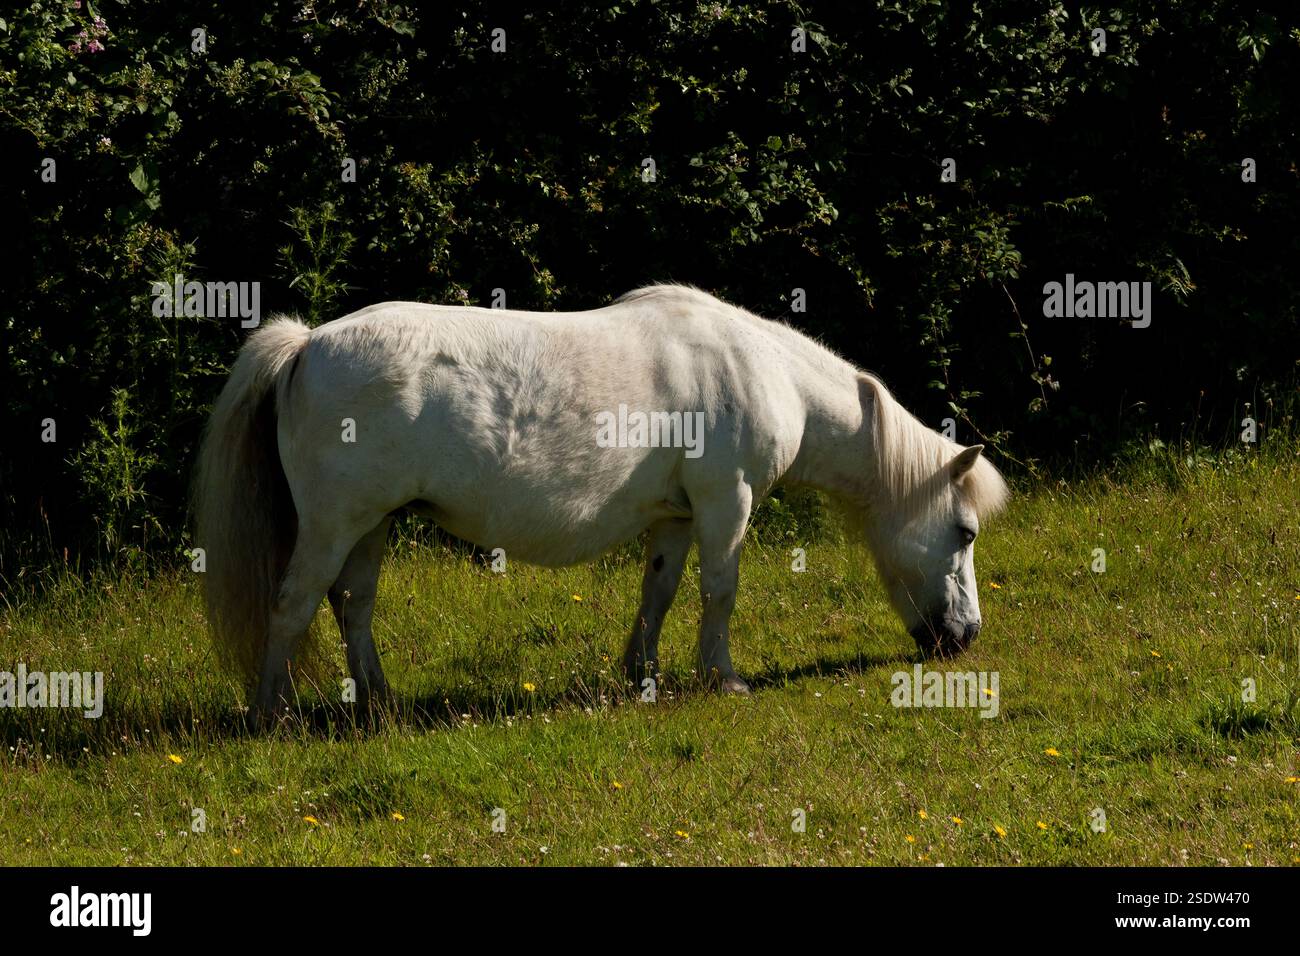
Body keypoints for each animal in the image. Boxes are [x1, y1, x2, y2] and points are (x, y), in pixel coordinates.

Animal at [194, 284, 1009, 723]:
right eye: (965, 531)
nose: (965, 636)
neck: (763, 369)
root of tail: (306, 345)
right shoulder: (726, 501)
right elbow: (719, 591)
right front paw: (723, 677)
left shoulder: (676, 517)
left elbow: (661, 592)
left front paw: (641, 672)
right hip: (335, 525)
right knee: (293, 605)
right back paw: (272, 714)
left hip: (372, 526)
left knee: (352, 606)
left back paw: (381, 703)